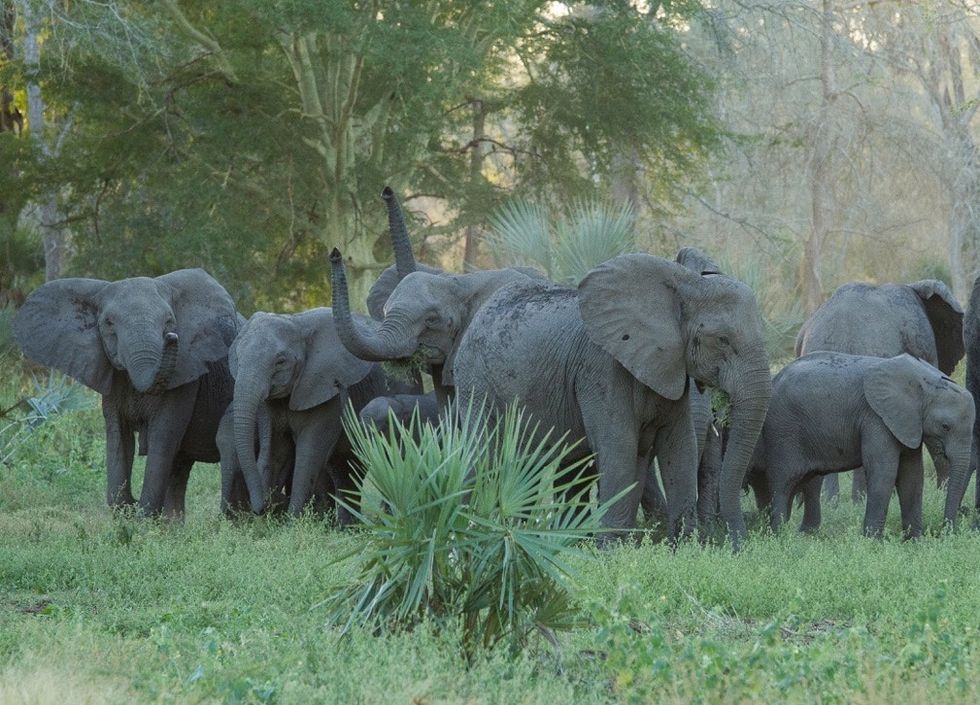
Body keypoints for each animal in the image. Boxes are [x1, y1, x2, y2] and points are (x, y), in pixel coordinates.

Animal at [12, 269, 238, 517]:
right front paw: (127, 509)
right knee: (180, 468)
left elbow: (163, 434)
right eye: (109, 323)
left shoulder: (185, 374)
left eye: (169, 321)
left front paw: (142, 515)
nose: (171, 337)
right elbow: (118, 434)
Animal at [219, 308, 419, 518]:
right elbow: (277, 450)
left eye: (280, 362)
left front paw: (294, 519)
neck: (297, 323)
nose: (260, 508)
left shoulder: (328, 389)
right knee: (345, 469)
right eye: (238, 359)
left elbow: (309, 454)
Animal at [440, 253, 771, 546]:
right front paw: (611, 552)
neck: (685, 285)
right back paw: (464, 534)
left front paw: (685, 548)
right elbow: (620, 447)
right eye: (722, 340)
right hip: (476, 382)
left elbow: (680, 448)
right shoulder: (601, 368)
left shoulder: (669, 370)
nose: (738, 546)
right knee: (483, 456)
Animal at [748, 352, 974, 538]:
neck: (926, 381)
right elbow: (884, 472)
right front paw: (873, 542)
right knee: (784, 483)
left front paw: (914, 541)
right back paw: (779, 536)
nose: (948, 533)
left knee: (807, 482)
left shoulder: (907, 423)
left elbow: (912, 475)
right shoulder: (876, 418)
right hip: (783, 431)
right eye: (945, 426)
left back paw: (801, 535)